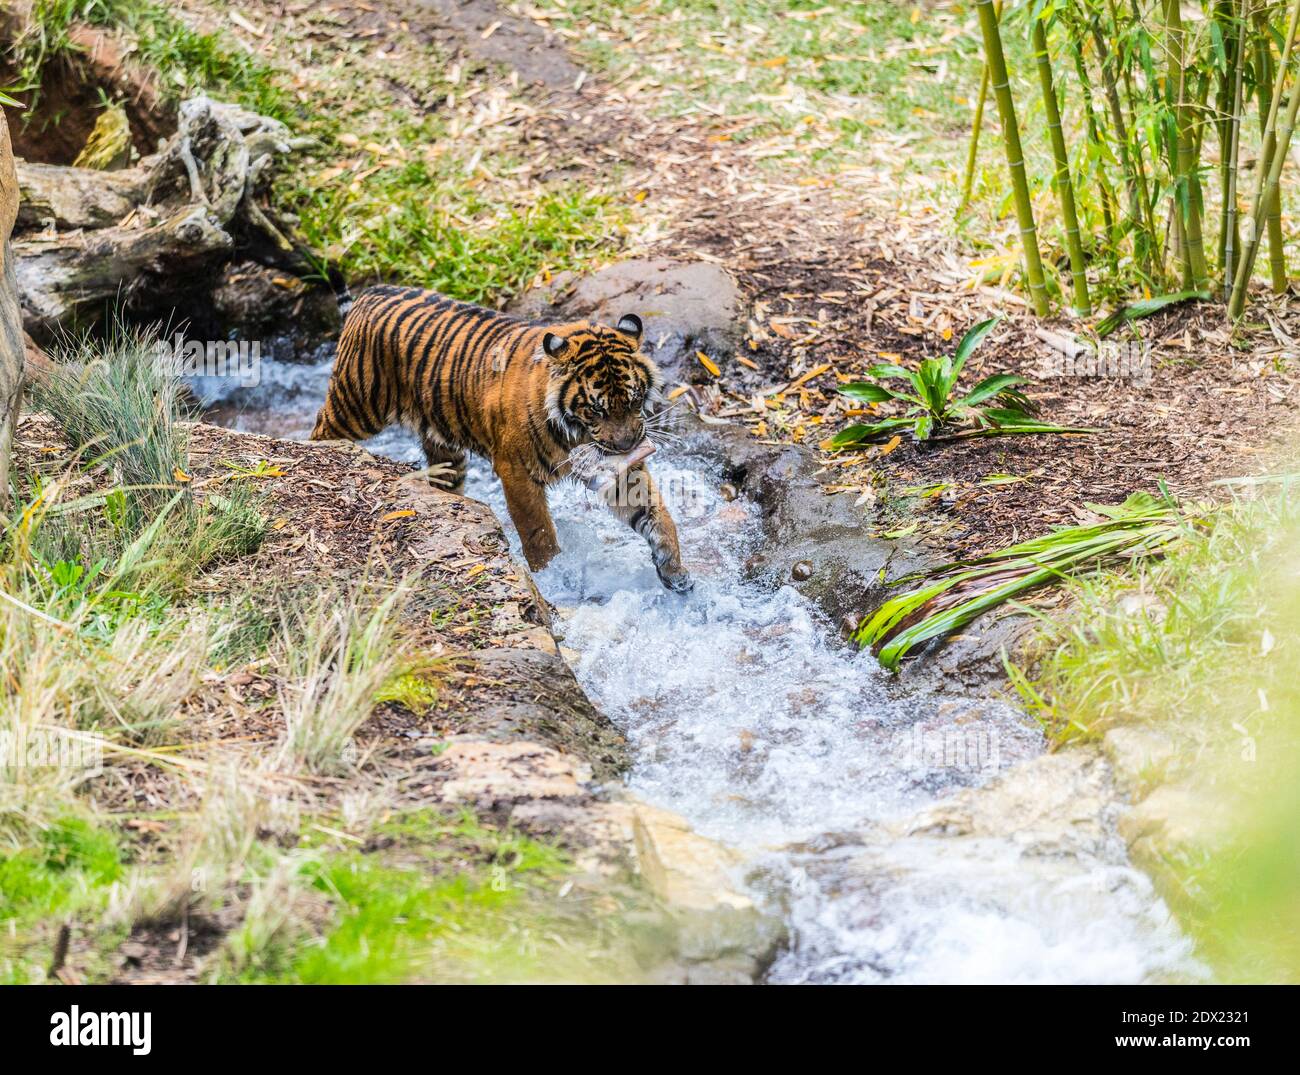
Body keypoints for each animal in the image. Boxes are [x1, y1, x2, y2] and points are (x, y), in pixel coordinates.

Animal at [310, 285, 693, 593]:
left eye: (634, 400)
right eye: (596, 410)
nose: (628, 446)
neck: (576, 433)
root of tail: (369, 294)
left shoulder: (618, 468)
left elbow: (656, 513)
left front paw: (673, 569)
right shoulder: (517, 473)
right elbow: (538, 534)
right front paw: (552, 580)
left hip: (444, 448)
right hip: (355, 407)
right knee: (321, 432)